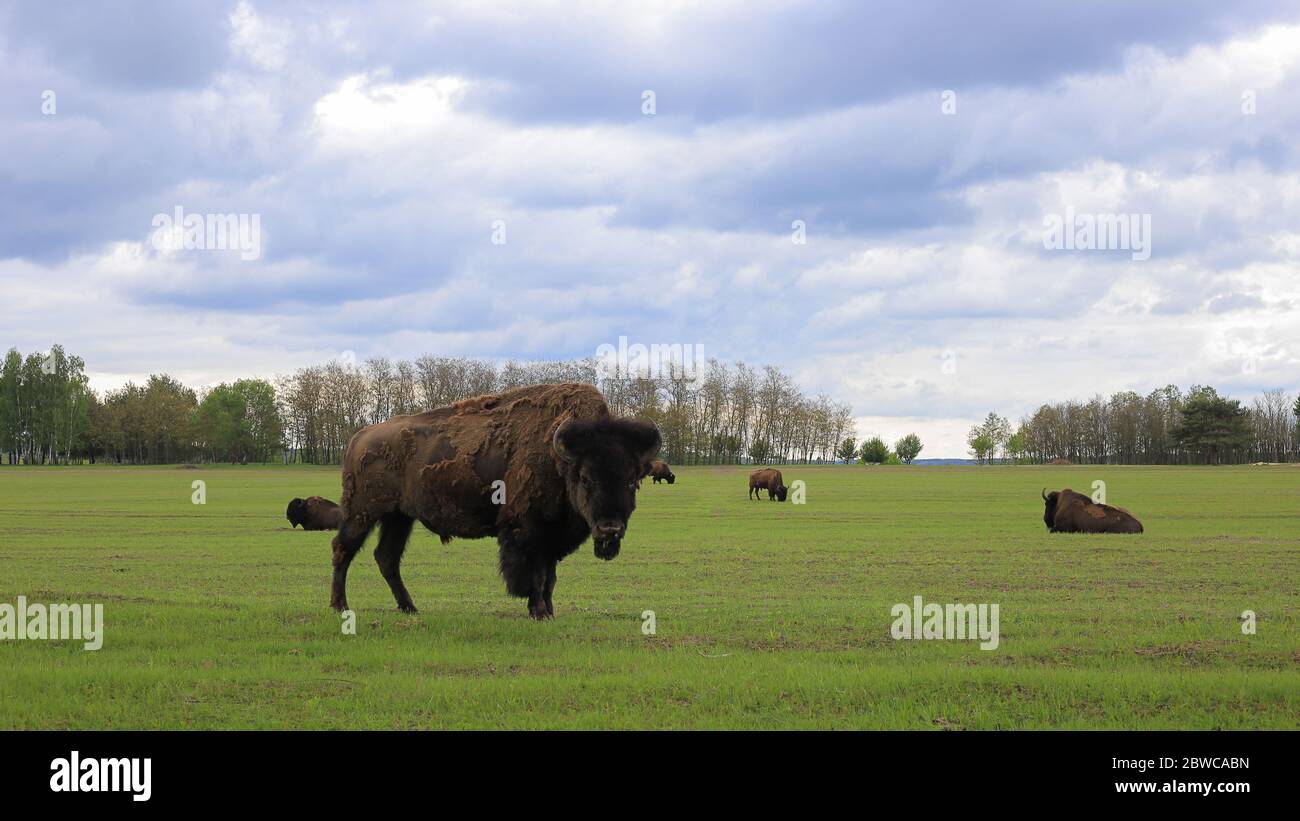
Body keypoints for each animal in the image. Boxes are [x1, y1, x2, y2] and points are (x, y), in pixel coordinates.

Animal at [330, 383, 661, 620]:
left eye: (632, 480)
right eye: (585, 478)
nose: (609, 529)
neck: (559, 460)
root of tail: (358, 438)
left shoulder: (552, 537)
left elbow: (550, 577)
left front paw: (549, 611)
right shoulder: (528, 533)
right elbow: (536, 576)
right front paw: (539, 612)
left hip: (399, 517)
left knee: (387, 557)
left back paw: (409, 607)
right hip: (362, 513)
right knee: (343, 550)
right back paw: (341, 606)